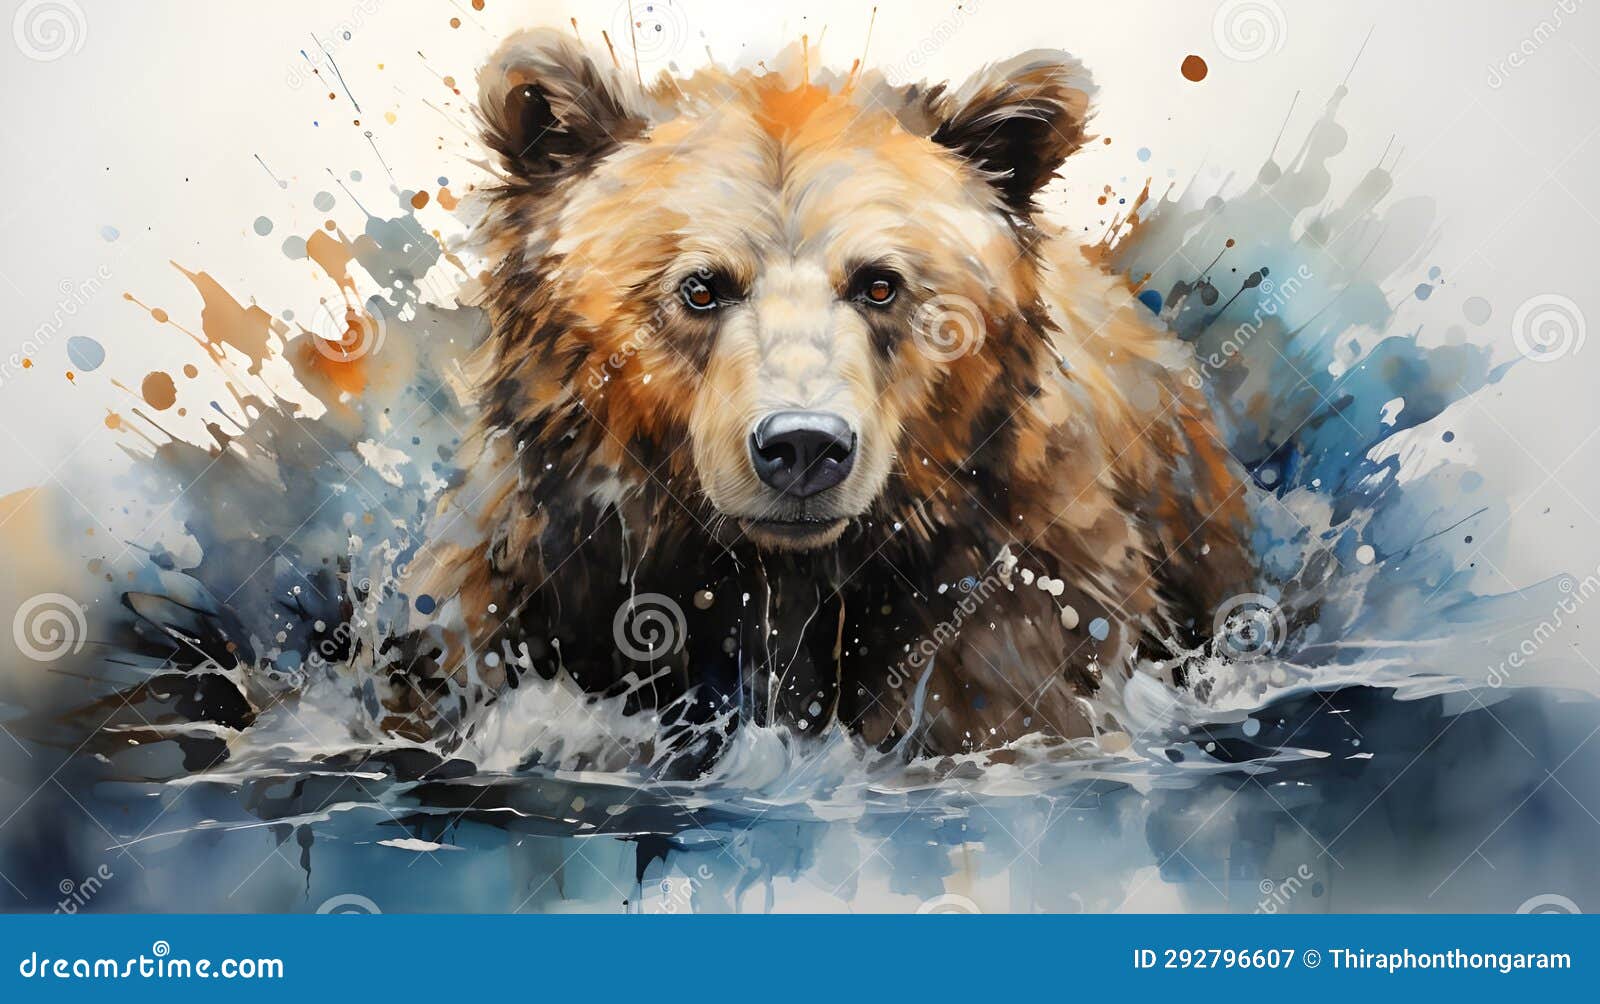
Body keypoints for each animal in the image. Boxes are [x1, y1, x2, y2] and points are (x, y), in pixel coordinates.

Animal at [394, 30, 1256, 772]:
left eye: (880, 284)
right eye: (700, 287)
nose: (803, 445)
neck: (767, 575)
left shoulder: (1008, 592)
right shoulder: (537, 586)